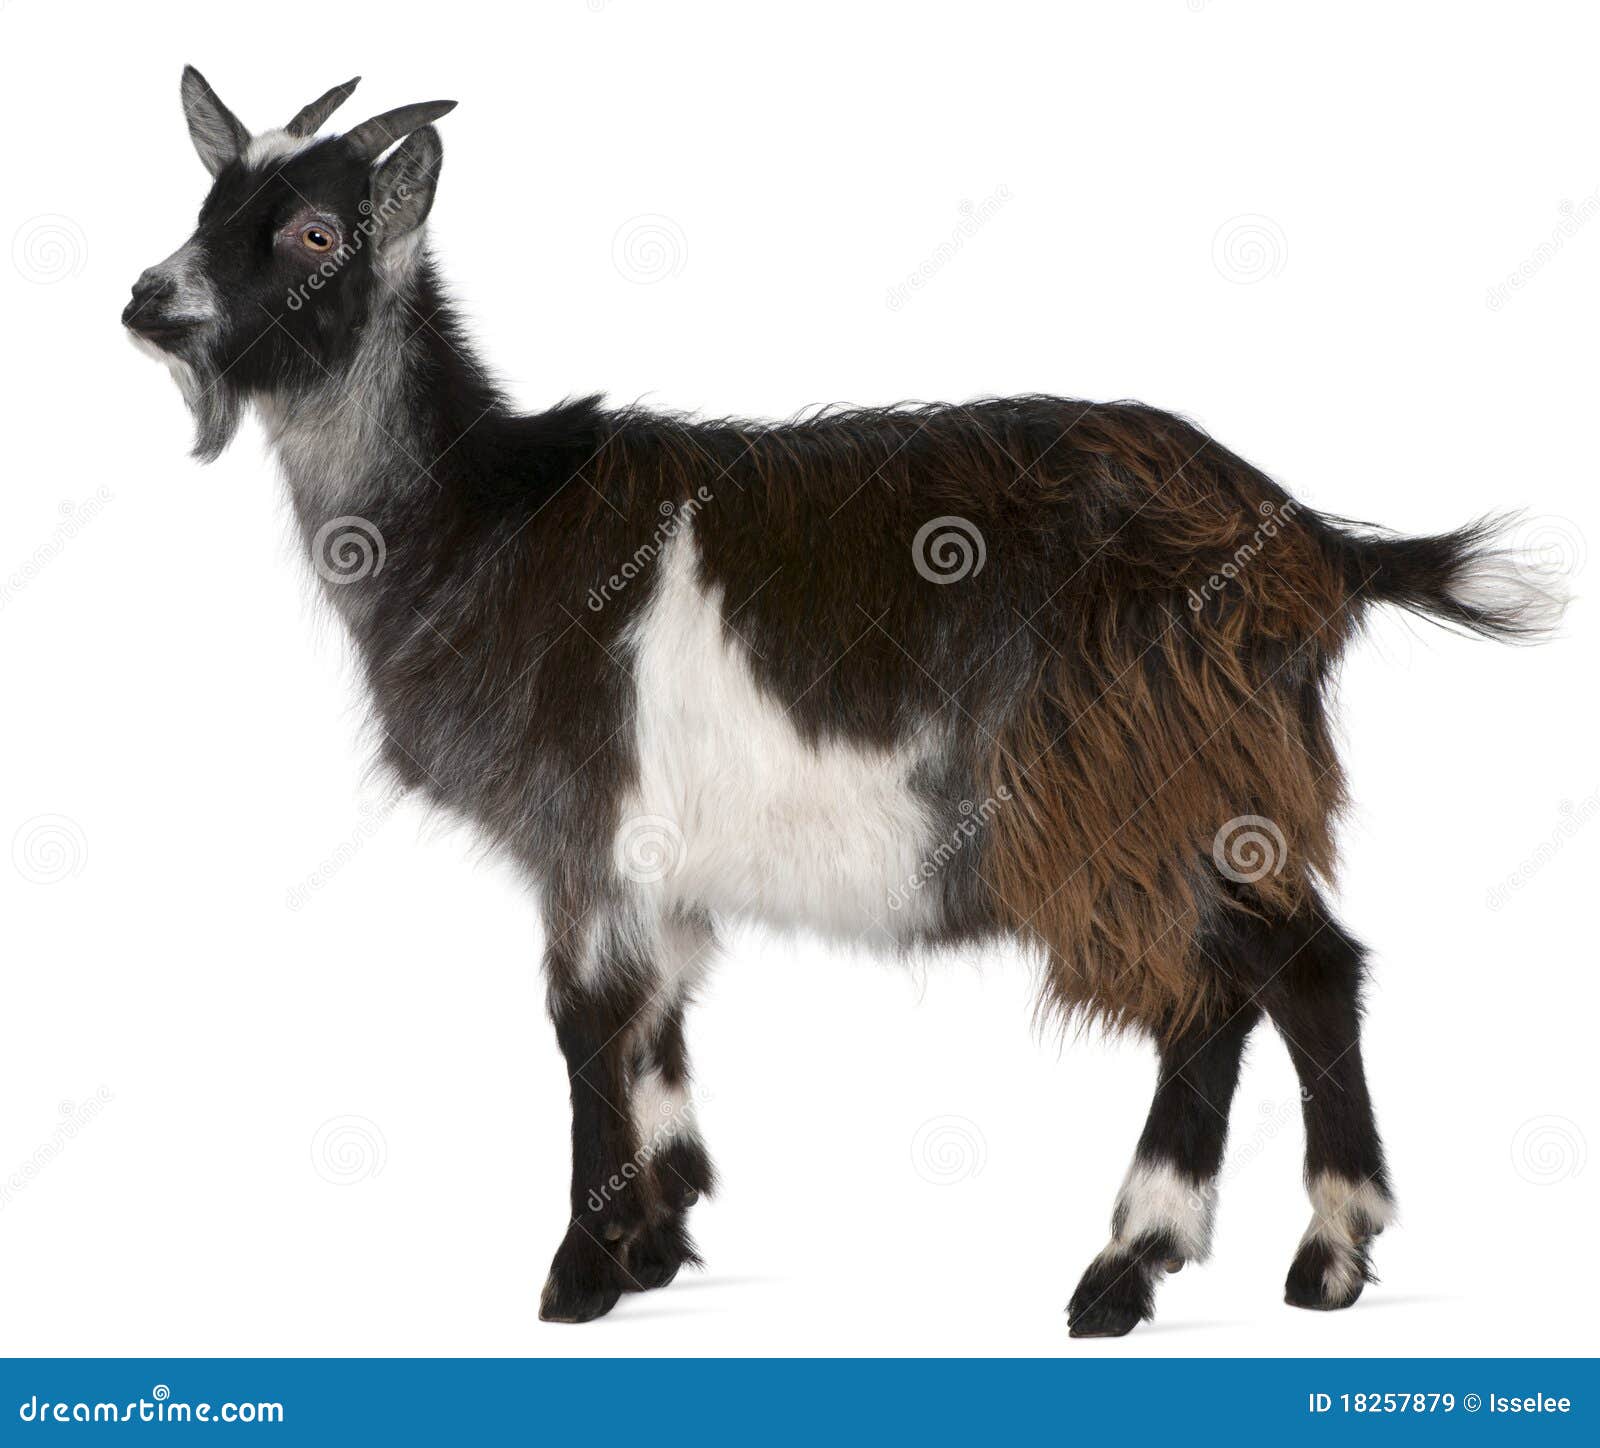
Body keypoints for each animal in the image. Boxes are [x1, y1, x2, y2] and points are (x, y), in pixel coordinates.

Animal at [124, 69, 1564, 1336]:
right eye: (208, 204)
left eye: (314, 231)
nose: (148, 299)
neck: (480, 520)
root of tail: (1314, 544)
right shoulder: (655, 850)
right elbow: (657, 1020)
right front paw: (660, 1236)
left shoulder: (584, 822)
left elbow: (586, 1028)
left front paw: (581, 1273)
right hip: (1212, 789)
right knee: (1299, 969)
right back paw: (1315, 1259)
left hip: (1137, 786)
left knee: (1236, 984)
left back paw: (1141, 1263)